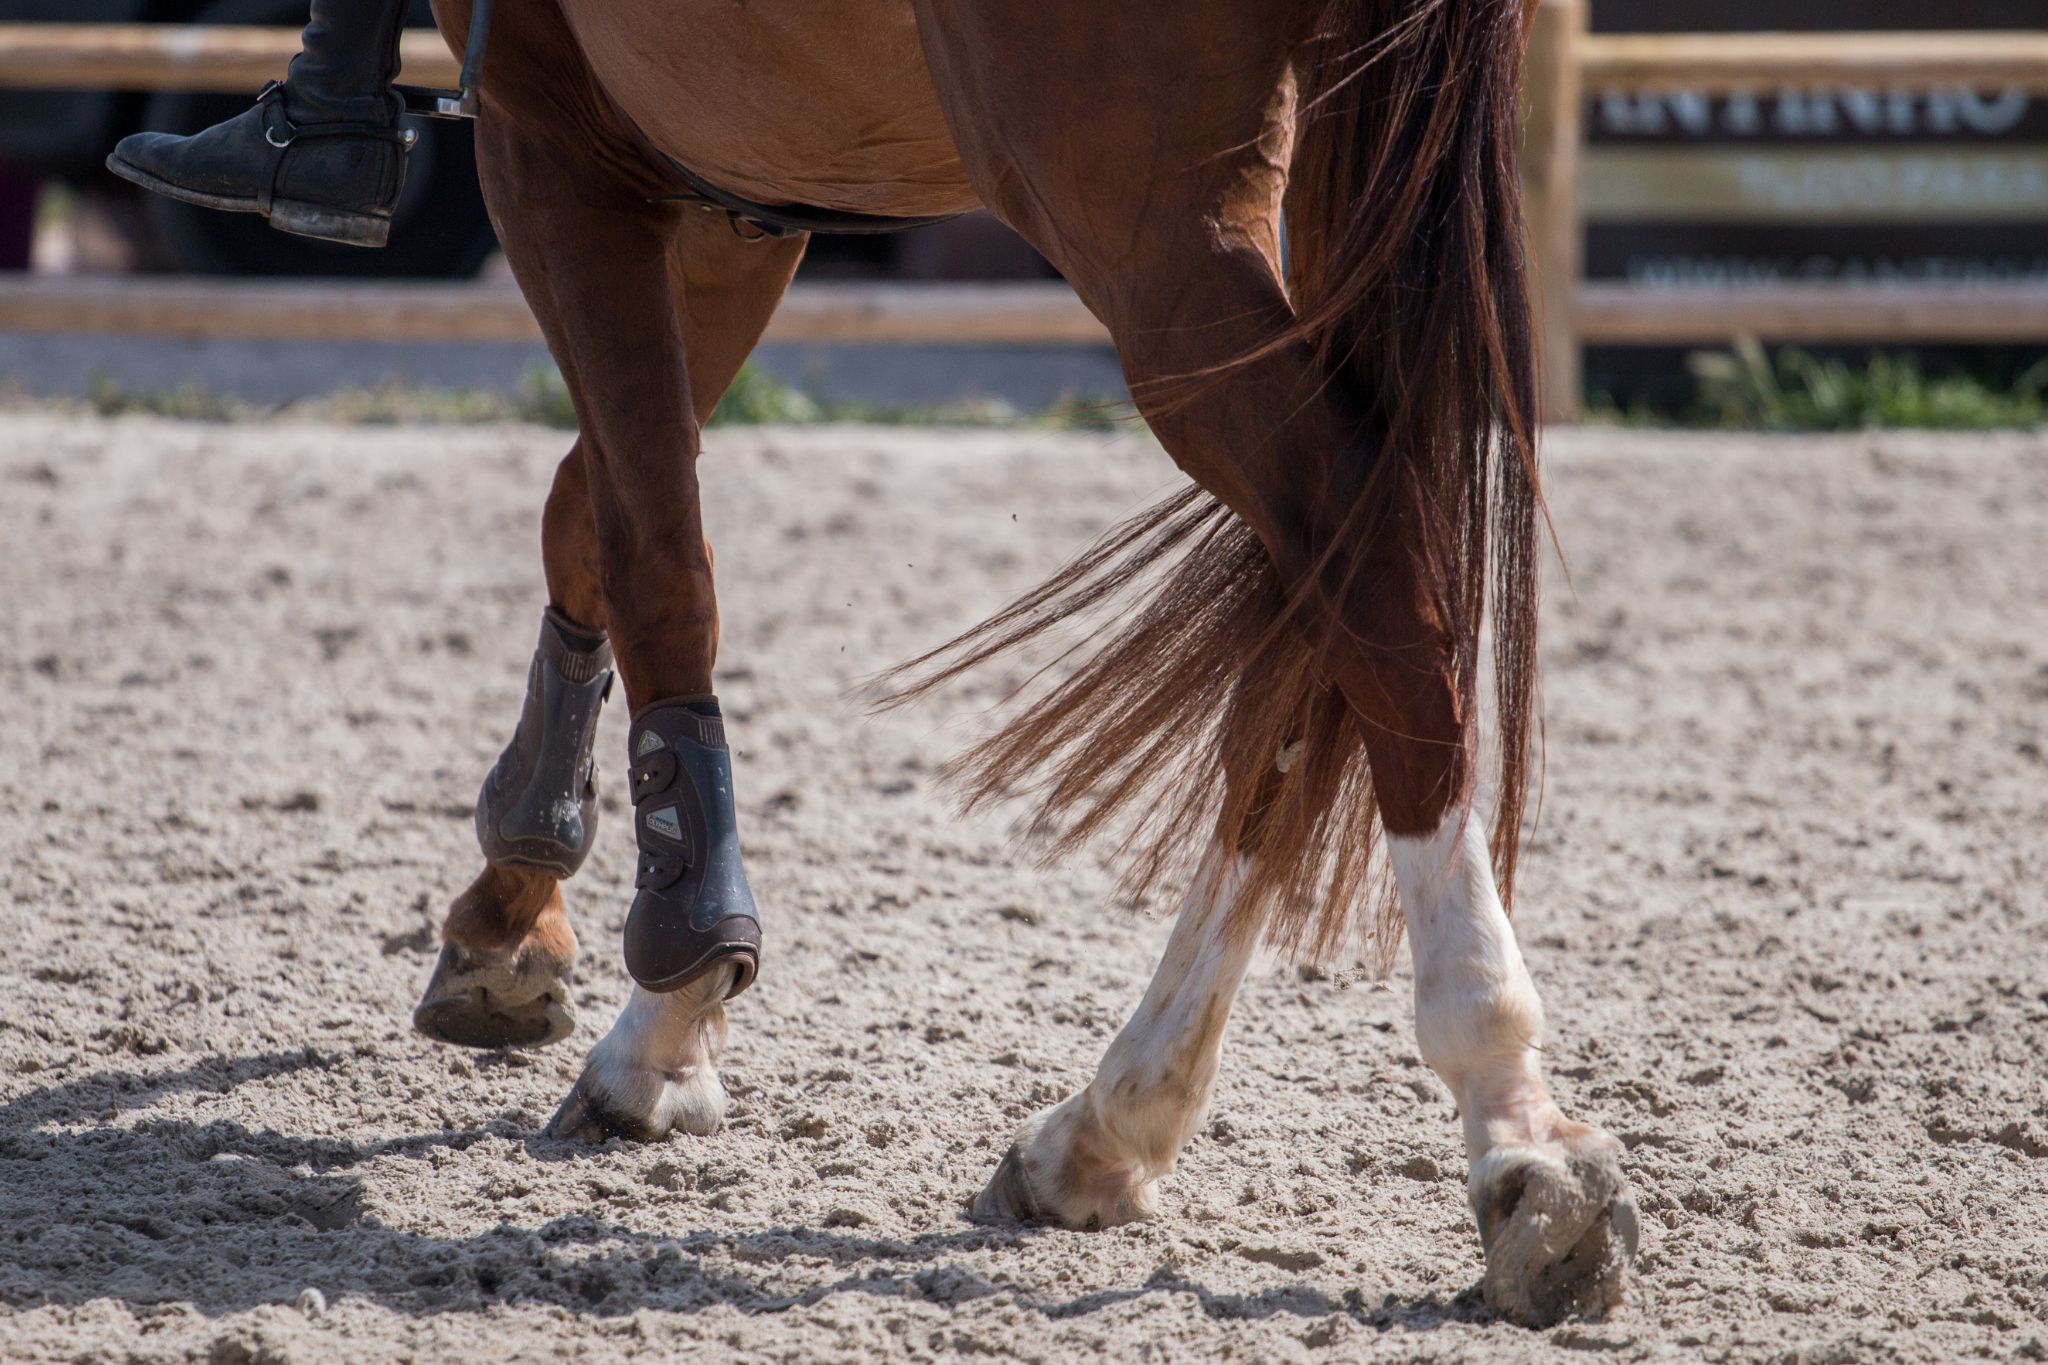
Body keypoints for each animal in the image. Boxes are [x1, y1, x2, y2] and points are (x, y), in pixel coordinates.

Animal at [404, 0, 1637, 1327]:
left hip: (1148, 226)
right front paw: (522, 912)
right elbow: (588, 506)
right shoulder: (729, 189)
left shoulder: (550, 135)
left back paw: (1515, 1131)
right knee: (1308, 647)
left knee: (1370, 581)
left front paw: (654, 1002)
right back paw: (1109, 1123)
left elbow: (647, 542)